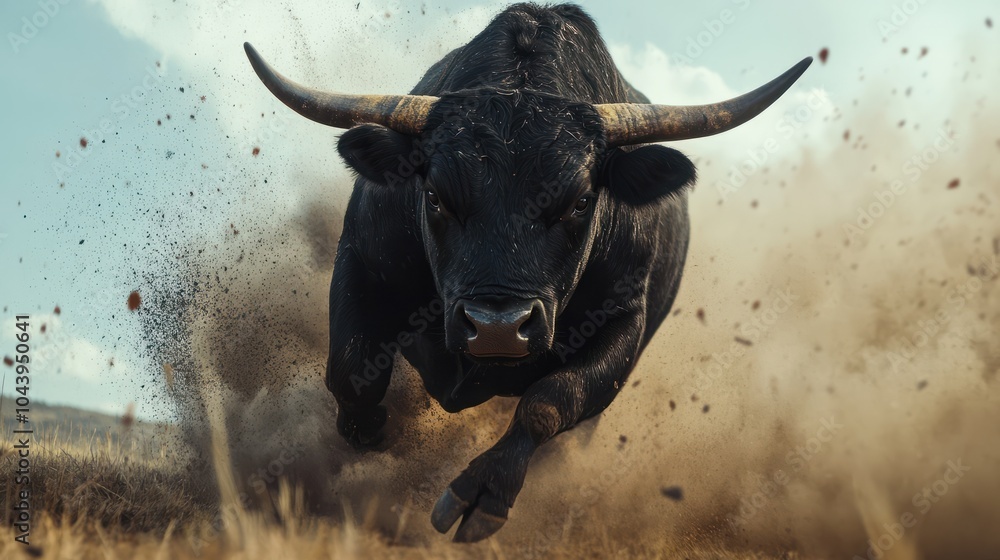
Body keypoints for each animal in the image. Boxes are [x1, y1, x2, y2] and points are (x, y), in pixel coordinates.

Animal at [245, 2, 810, 543]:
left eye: (581, 201)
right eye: (435, 195)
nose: (497, 327)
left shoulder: (625, 321)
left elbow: (552, 400)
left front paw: (484, 493)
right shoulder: (360, 262)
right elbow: (351, 368)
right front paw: (370, 434)